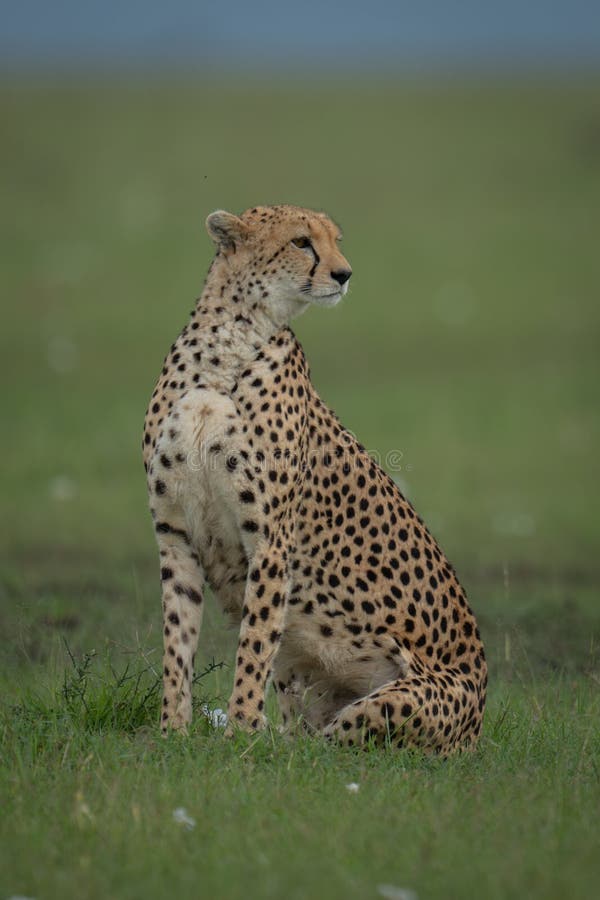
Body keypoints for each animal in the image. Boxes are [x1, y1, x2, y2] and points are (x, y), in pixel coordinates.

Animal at [142, 204, 487, 754]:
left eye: (336, 241)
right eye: (302, 242)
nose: (344, 274)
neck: (227, 346)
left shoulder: (270, 543)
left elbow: (255, 645)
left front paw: (240, 733)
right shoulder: (173, 535)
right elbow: (178, 642)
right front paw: (171, 732)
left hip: (398, 700)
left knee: (330, 742)